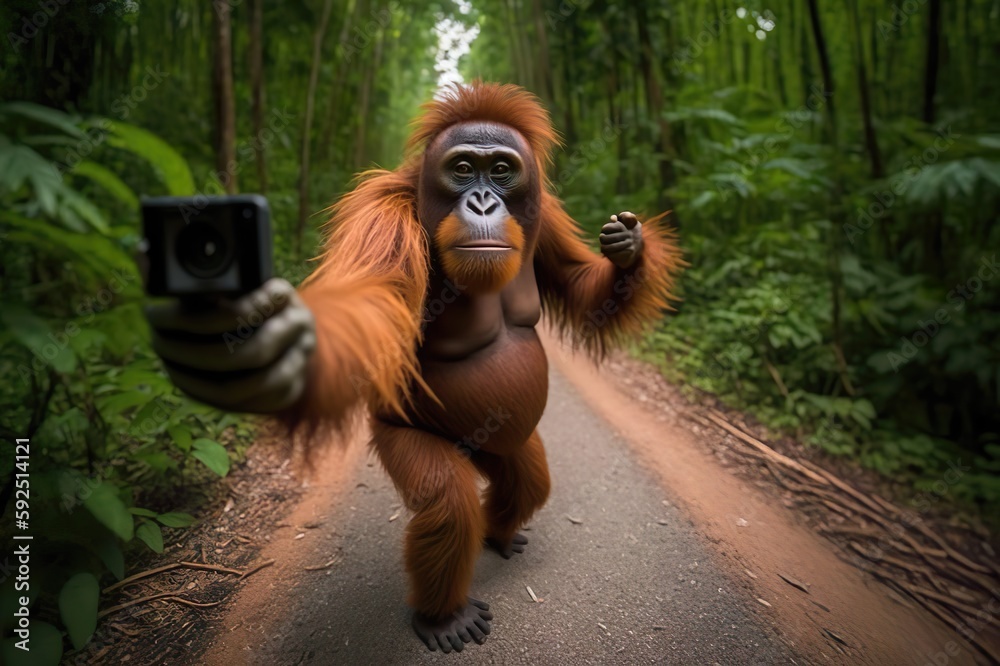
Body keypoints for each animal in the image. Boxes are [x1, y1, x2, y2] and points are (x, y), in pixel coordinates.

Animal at [144, 82, 683, 652]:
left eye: (501, 170)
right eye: (463, 168)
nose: (483, 200)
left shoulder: (547, 216)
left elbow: (578, 283)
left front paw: (629, 248)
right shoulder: (382, 218)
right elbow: (369, 305)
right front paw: (274, 344)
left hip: (501, 442)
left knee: (528, 478)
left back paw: (498, 532)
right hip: (403, 433)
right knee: (448, 503)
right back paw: (444, 615)